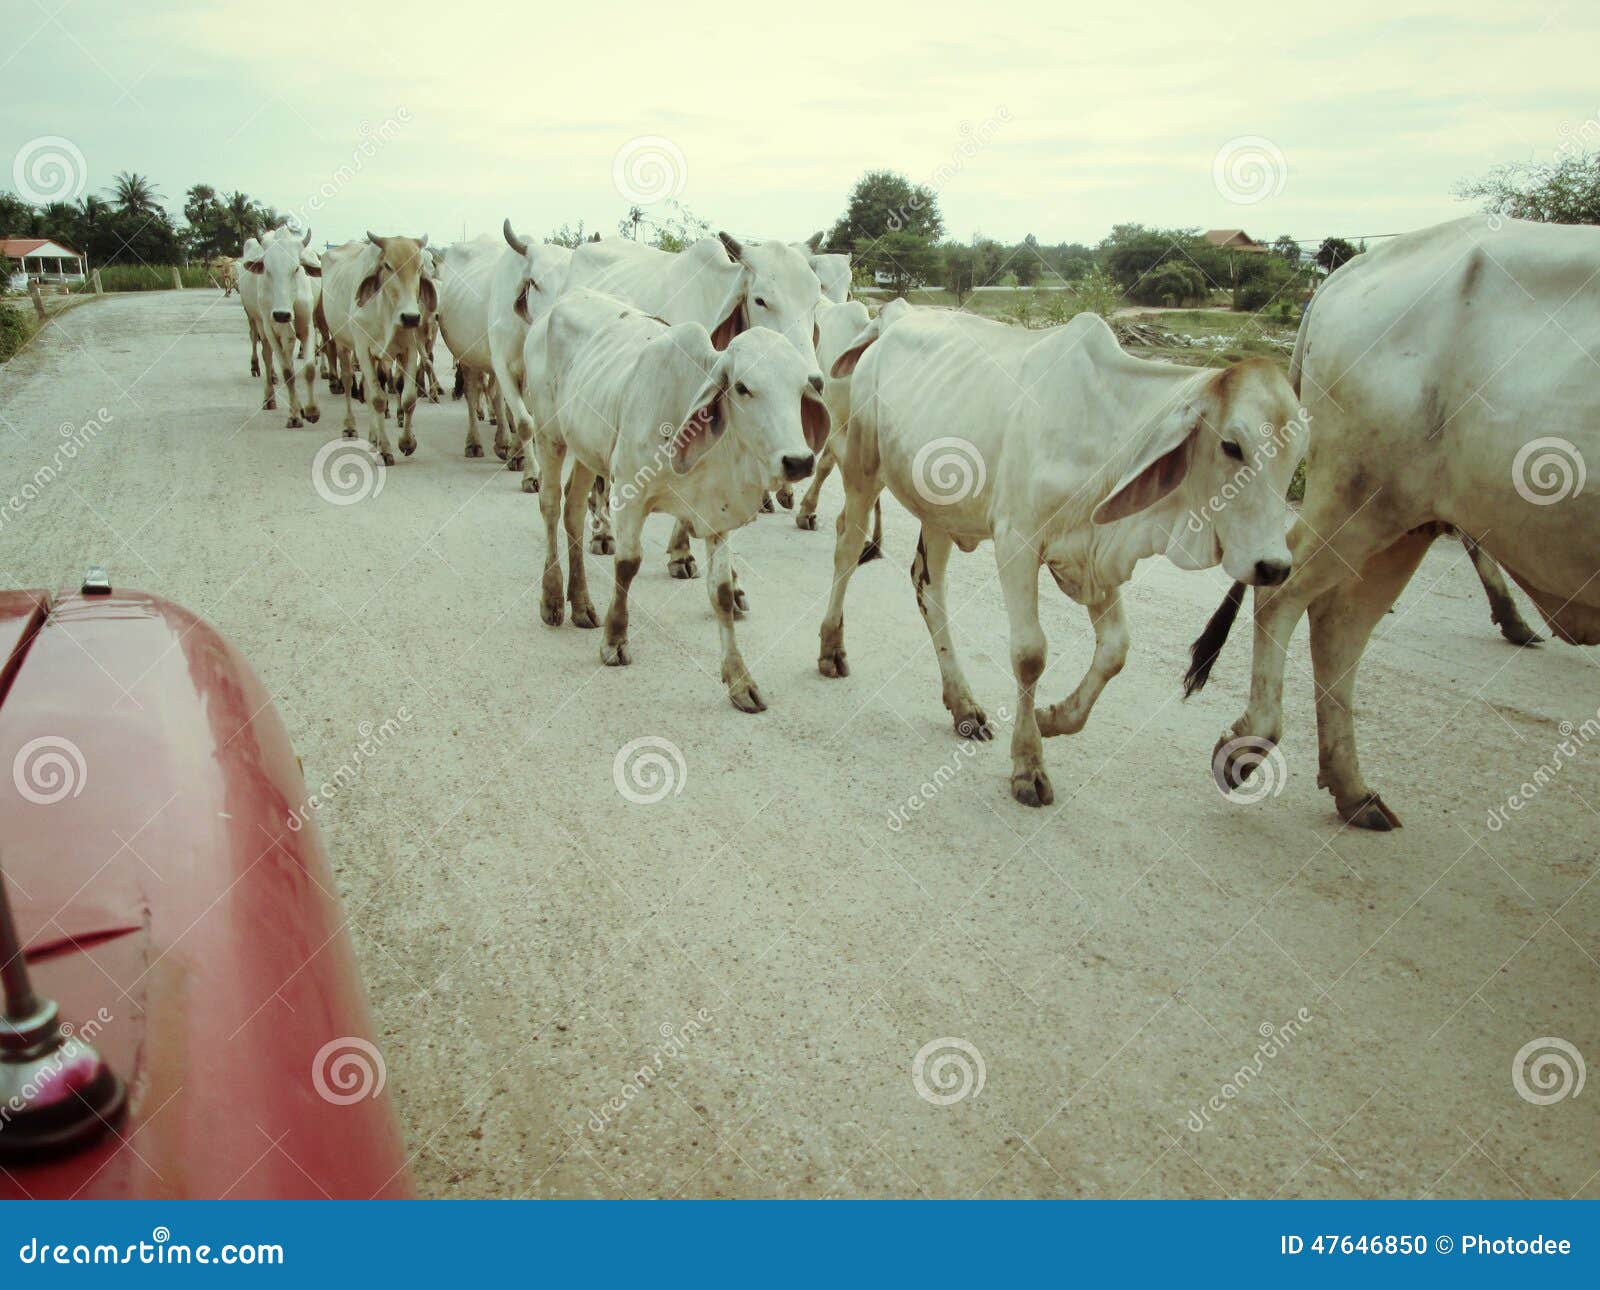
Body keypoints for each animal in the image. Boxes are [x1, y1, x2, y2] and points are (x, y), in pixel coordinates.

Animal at [238, 226, 322, 428]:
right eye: (267, 270)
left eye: (297, 268)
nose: (282, 314)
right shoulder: (271, 329)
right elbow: (287, 372)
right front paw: (294, 416)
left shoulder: (307, 326)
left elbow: (309, 369)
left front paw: (312, 411)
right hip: (258, 321)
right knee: (266, 356)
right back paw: (269, 397)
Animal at [320, 232, 436, 465]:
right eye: (388, 266)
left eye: (419, 267)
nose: (411, 317)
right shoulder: (363, 349)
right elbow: (378, 399)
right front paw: (386, 449)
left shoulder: (410, 349)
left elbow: (408, 399)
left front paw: (407, 442)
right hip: (343, 344)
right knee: (349, 382)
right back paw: (350, 426)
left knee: (367, 387)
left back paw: (373, 436)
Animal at [524, 288, 828, 711]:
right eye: (743, 388)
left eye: (801, 389)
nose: (798, 461)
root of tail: (560, 303)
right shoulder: (629, 494)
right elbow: (627, 566)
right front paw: (615, 640)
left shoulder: (718, 513)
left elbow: (721, 593)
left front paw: (739, 679)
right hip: (549, 435)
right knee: (551, 508)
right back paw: (553, 598)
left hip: (586, 449)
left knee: (572, 511)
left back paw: (581, 603)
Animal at [821, 307, 1306, 807]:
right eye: (1232, 446)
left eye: (1297, 455)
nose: (1274, 566)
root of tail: (895, 314)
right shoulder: (1016, 542)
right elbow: (1030, 654)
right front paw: (1028, 764)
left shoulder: (1095, 554)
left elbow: (1115, 650)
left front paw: (1052, 718)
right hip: (862, 469)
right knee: (847, 548)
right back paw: (831, 648)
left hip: (937, 510)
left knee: (928, 587)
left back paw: (964, 705)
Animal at [1186, 216, 1600, 830]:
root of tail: (1346, 275)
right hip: (1365, 496)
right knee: (1289, 595)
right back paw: (1255, 746)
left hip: (1406, 516)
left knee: (1337, 621)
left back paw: (1352, 788)